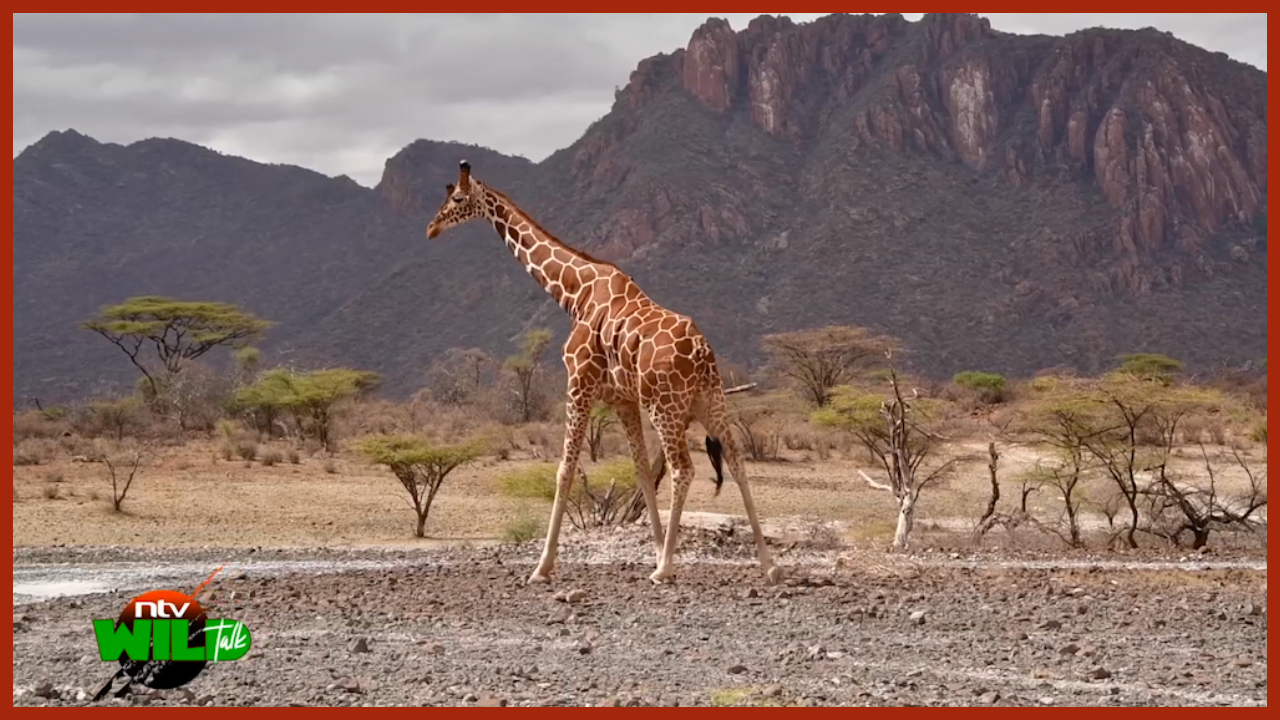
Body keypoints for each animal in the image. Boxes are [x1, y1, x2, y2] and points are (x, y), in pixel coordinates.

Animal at [426, 160, 781, 586]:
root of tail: (702, 353)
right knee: (738, 462)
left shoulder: (579, 381)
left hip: (666, 407)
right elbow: (641, 471)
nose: (431, 228)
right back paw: (768, 565)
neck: (574, 293)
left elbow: (564, 470)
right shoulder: (623, 400)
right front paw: (655, 549)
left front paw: (542, 567)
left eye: (457, 200)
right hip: (709, 402)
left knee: (683, 469)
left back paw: (665, 570)